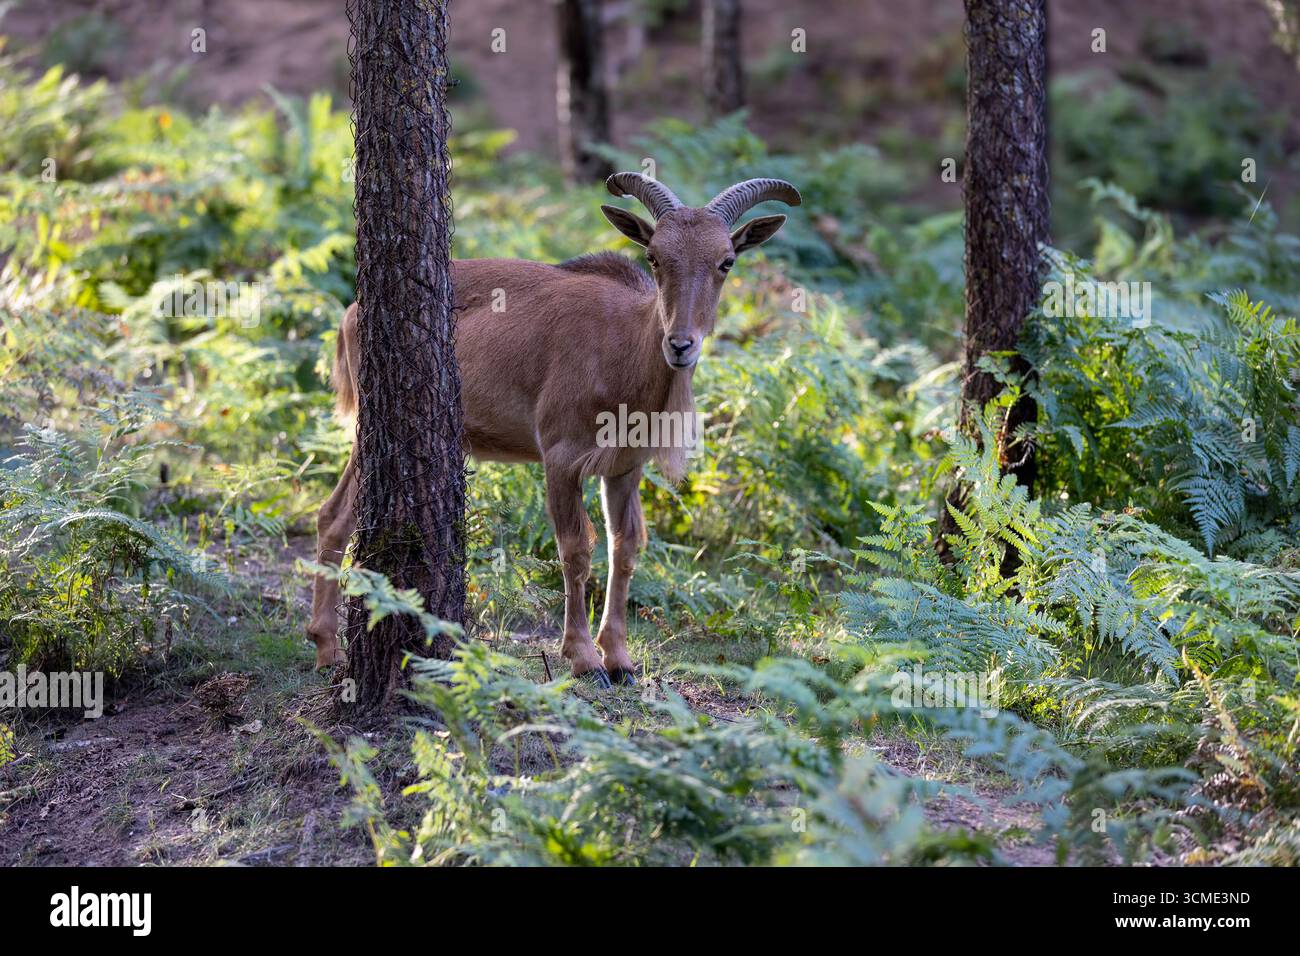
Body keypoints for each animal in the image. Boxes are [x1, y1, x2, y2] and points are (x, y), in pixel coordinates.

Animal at [309, 172, 801, 686]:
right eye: (654, 257)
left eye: (726, 262)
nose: (680, 345)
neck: (624, 351)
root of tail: (351, 313)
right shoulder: (562, 459)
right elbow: (576, 550)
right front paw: (584, 658)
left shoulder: (624, 469)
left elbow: (624, 548)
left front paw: (620, 659)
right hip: (368, 430)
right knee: (334, 515)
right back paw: (328, 649)